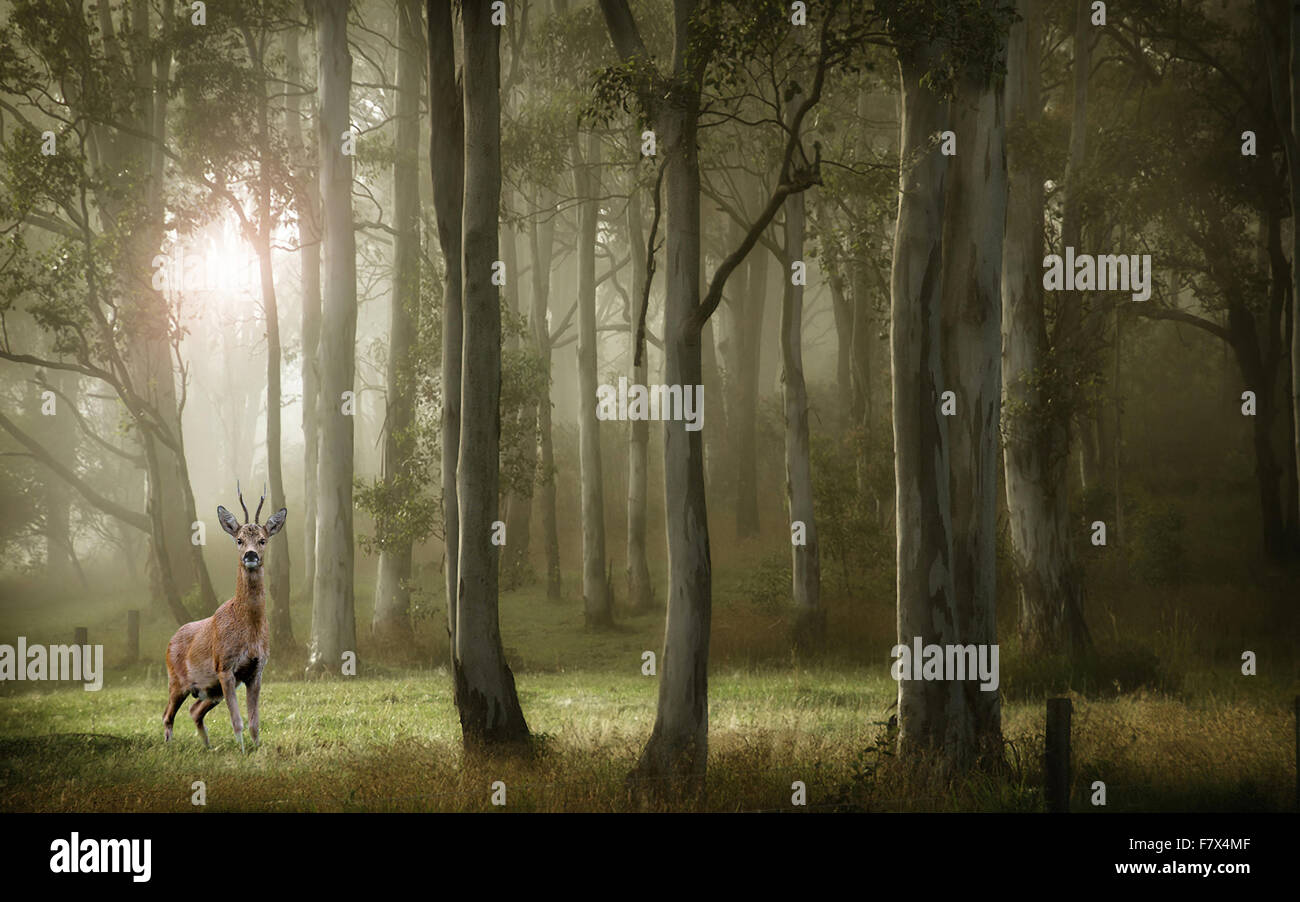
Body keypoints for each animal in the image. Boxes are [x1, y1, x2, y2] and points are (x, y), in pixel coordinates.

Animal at [163, 483, 286, 752]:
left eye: (262, 540)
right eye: (239, 540)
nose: (250, 555)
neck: (249, 629)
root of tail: (170, 640)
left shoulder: (256, 670)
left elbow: (254, 722)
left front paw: (256, 748)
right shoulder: (225, 666)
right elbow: (237, 720)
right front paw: (242, 752)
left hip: (210, 690)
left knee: (194, 710)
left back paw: (208, 747)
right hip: (177, 681)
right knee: (167, 715)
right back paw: (168, 747)